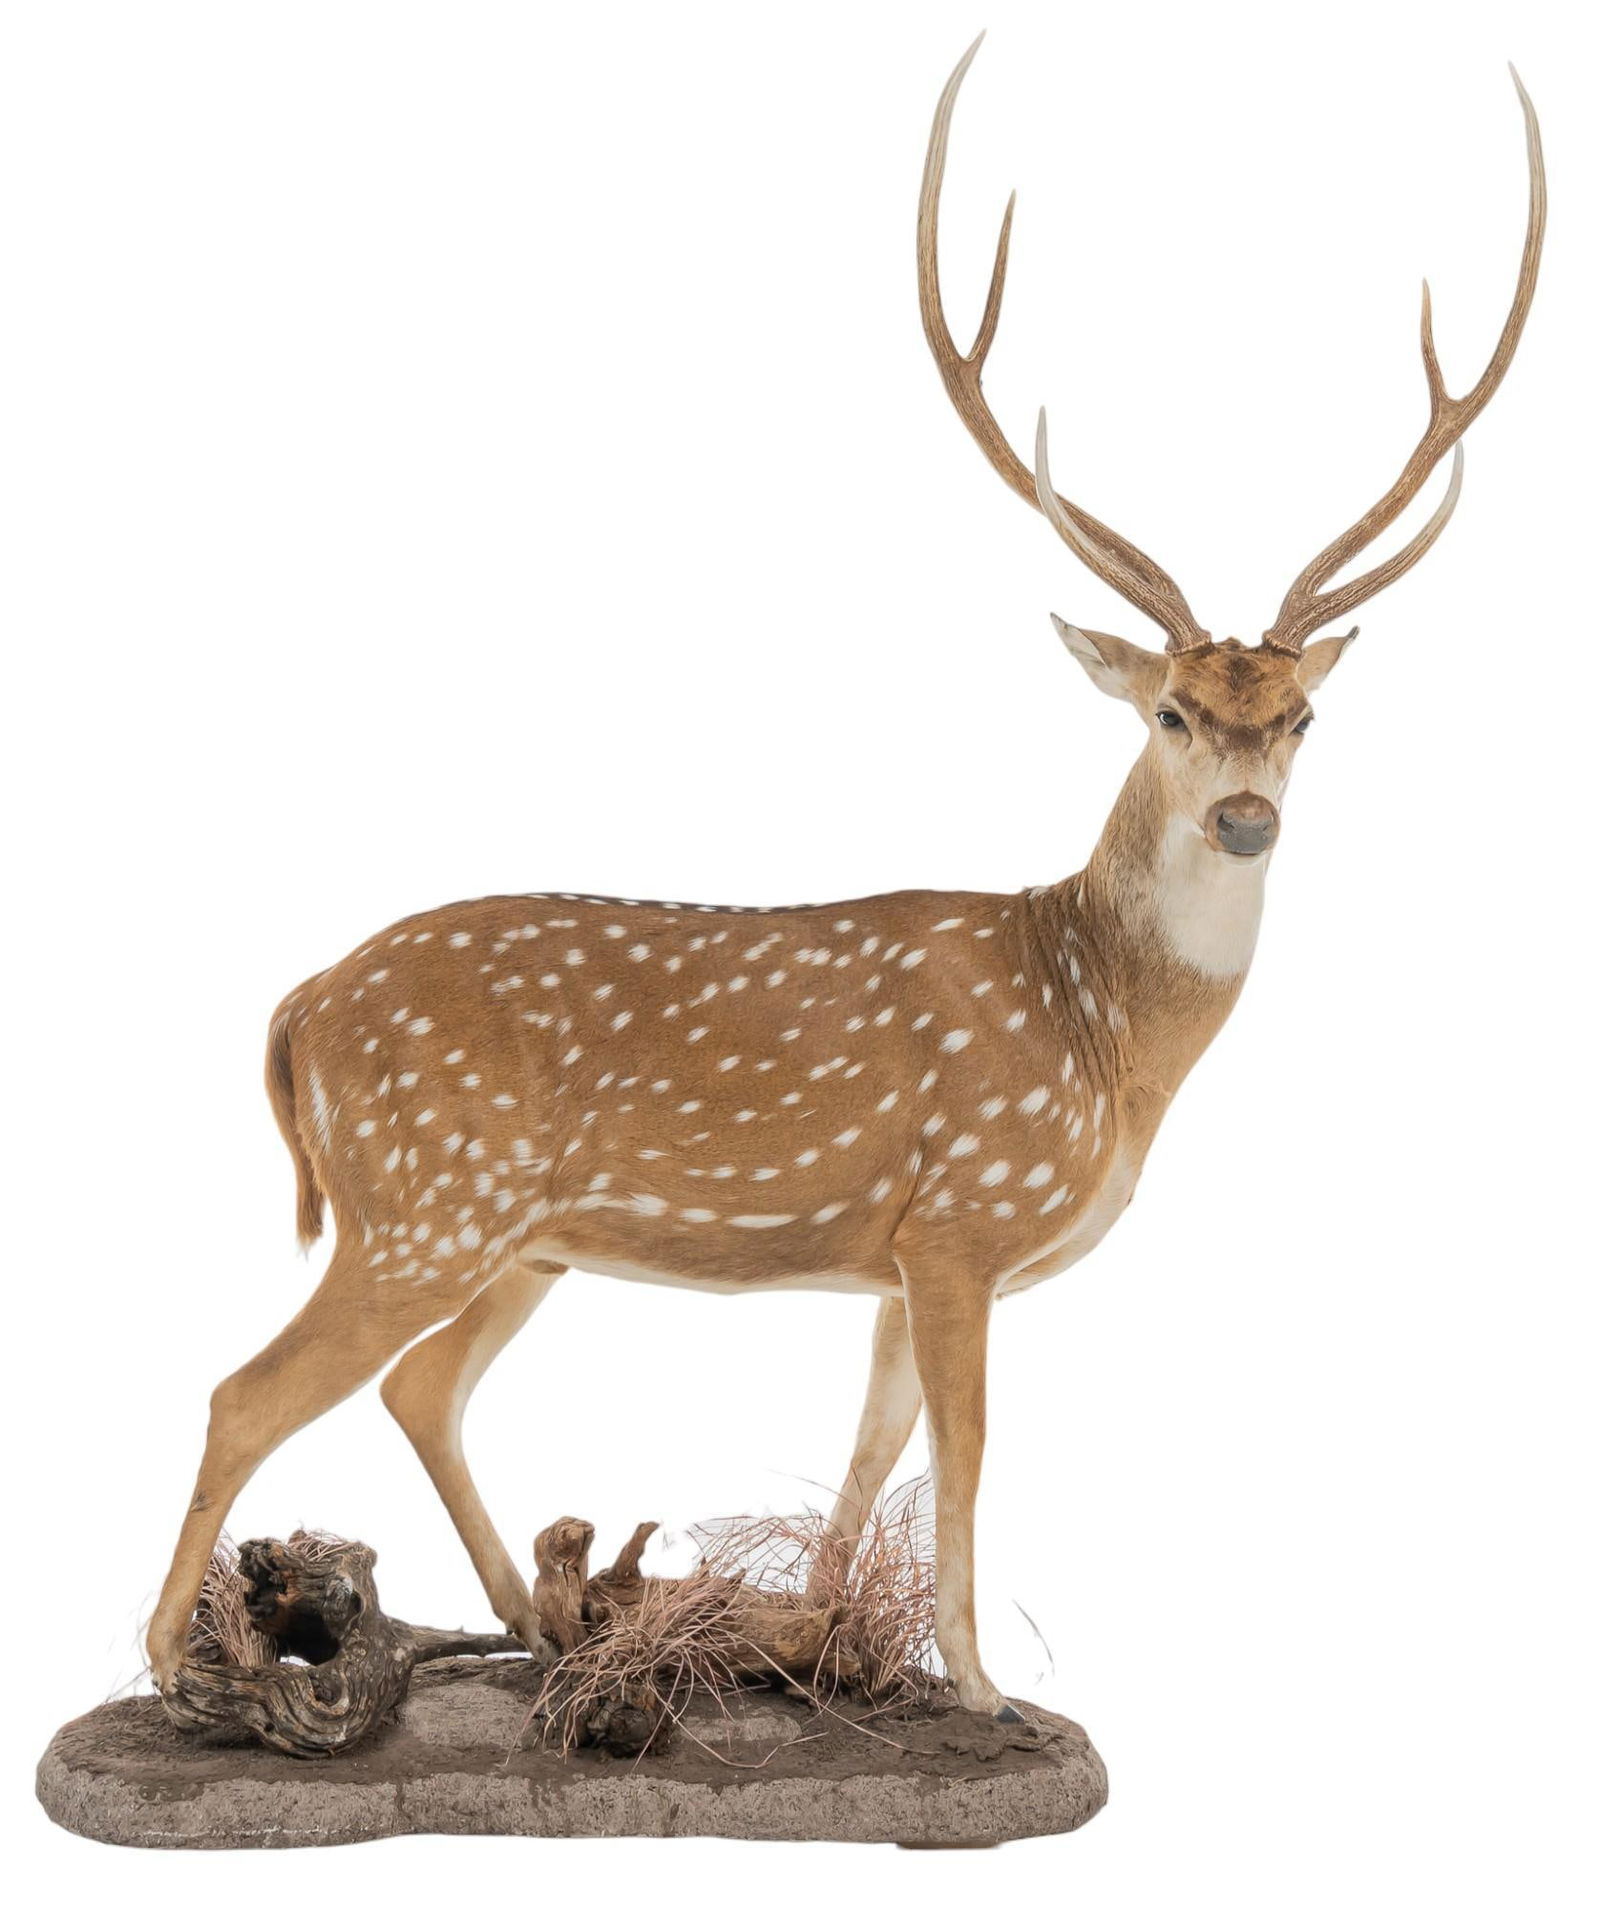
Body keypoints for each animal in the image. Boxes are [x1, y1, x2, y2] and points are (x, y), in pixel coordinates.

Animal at [144, 39, 1544, 1722]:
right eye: (1167, 710)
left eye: (1303, 718)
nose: (1247, 819)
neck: (1106, 1039)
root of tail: (293, 1006)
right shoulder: (965, 1217)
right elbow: (966, 1452)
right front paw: (985, 1689)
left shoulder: (893, 1249)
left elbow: (875, 1447)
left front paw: (823, 1647)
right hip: (423, 1195)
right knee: (245, 1390)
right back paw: (178, 1663)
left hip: (512, 1232)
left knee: (415, 1385)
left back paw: (543, 1624)